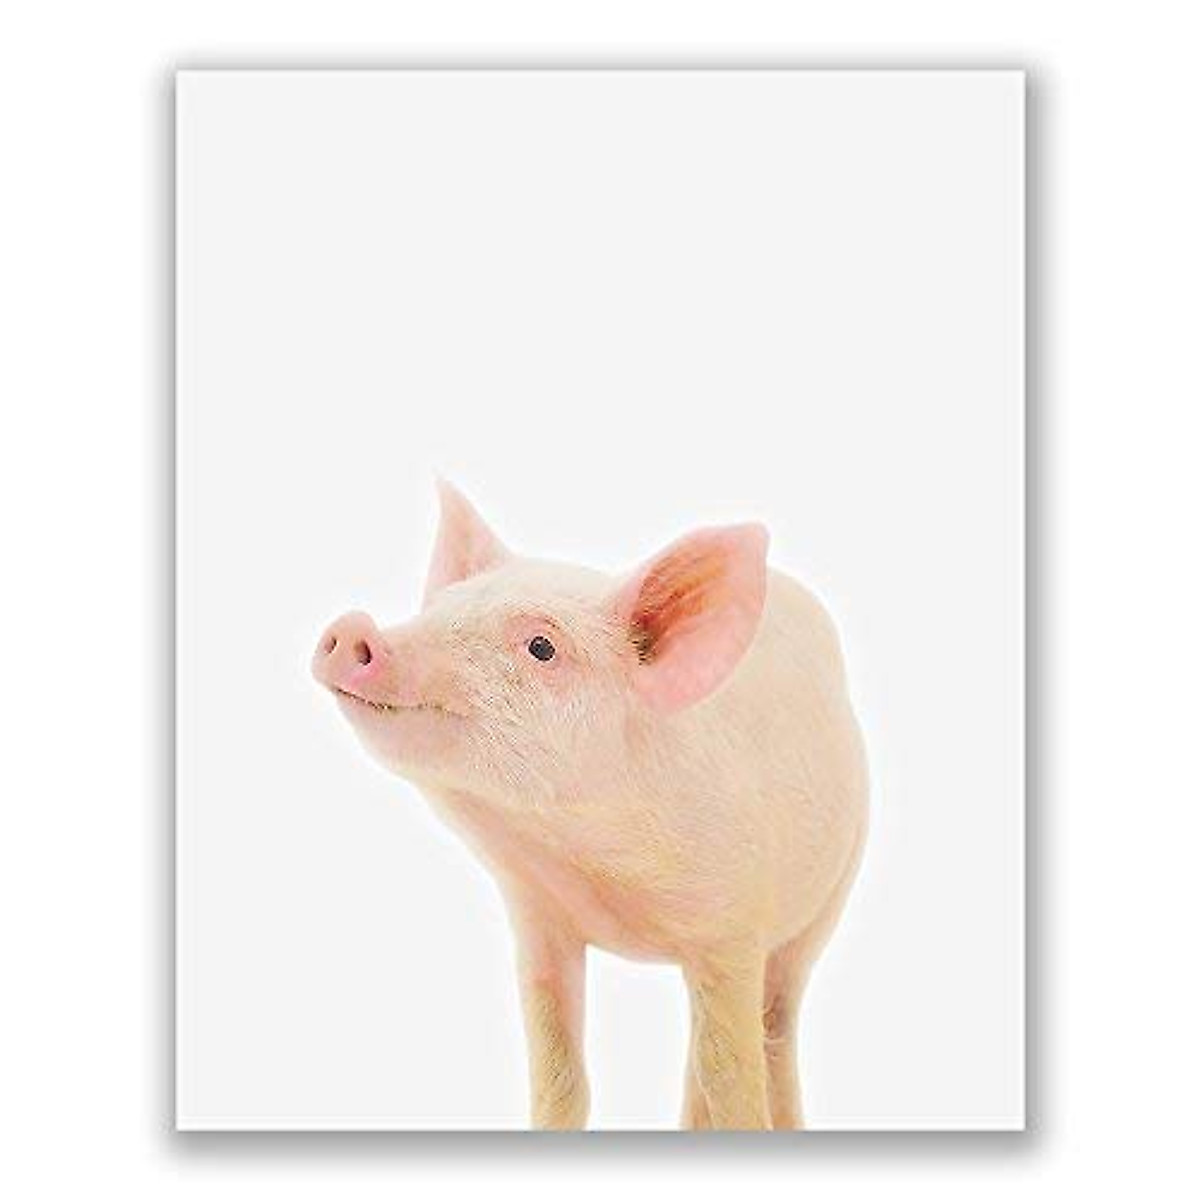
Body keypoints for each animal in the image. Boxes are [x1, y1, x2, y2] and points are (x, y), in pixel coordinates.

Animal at [312, 482, 868, 1131]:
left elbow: (733, 1080)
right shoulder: (537, 918)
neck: (590, 866)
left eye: (541, 646)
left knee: (773, 1030)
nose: (356, 626)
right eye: (439, 608)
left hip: (831, 897)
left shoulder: (733, 928)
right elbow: (562, 1077)